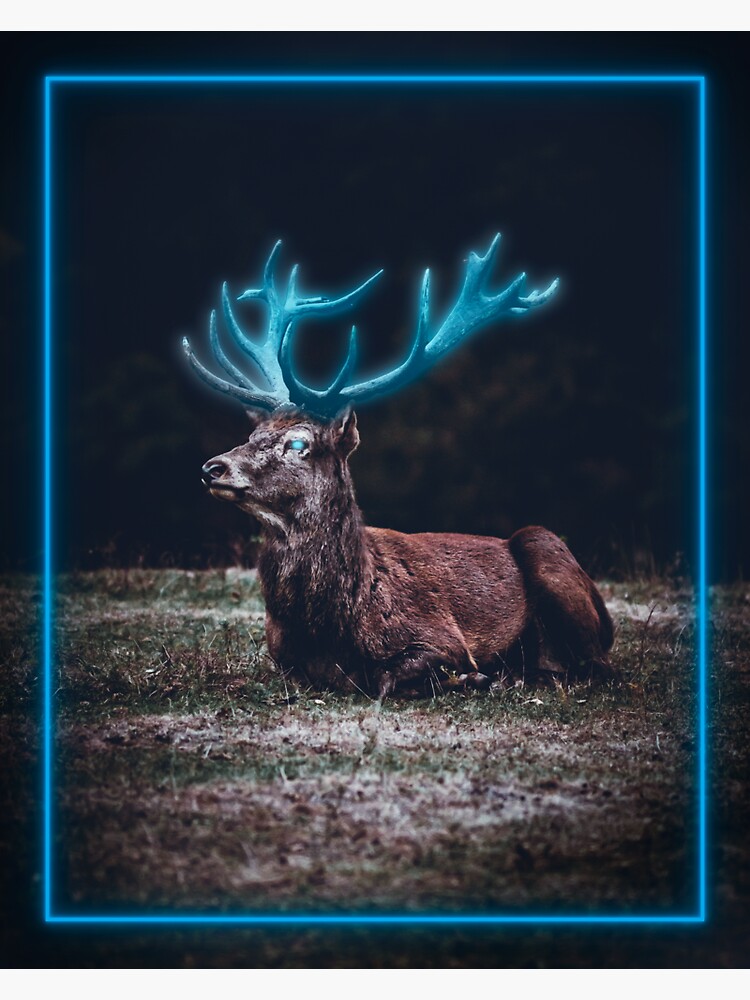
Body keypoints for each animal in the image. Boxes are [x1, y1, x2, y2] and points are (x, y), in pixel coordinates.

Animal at [183, 236, 614, 699]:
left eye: (298, 443)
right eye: (253, 433)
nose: (213, 468)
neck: (331, 627)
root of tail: (608, 619)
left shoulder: (442, 635)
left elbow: (387, 679)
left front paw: (474, 676)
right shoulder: (281, 656)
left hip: (546, 549)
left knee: (597, 667)